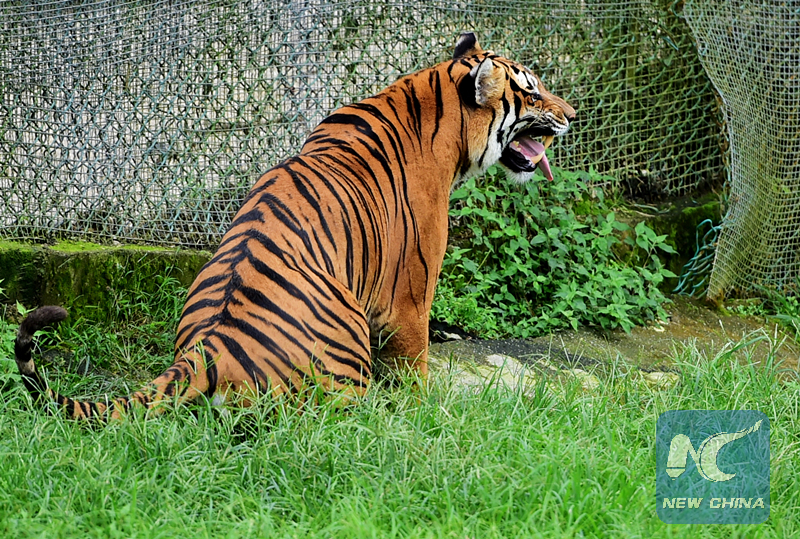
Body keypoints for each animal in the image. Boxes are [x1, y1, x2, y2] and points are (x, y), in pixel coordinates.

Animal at [14, 32, 575, 420]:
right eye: (531, 92)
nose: (572, 113)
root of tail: (208, 348)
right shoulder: (411, 296)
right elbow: (414, 369)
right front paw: (423, 415)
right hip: (348, 346)